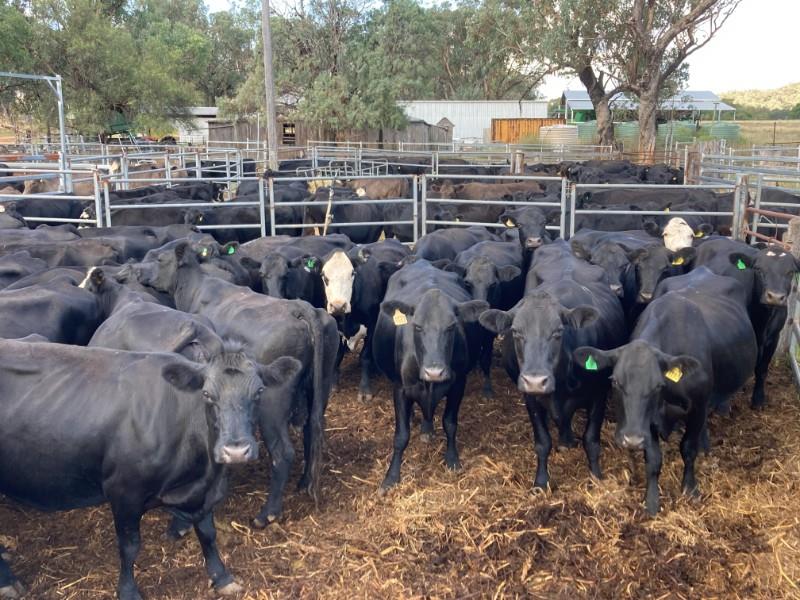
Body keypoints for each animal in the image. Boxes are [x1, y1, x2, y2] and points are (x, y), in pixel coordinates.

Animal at [0, 338, 295, 600]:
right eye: (207, 394)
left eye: (259, 392)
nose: (235, 450)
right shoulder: (124, 491)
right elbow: (130, 546)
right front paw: (128, 592)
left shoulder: (202, 491)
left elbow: (208, 533)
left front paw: (221, 577)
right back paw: (8, 581)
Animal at [372, 260, 488, 491]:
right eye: (417, 326)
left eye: (451, 326)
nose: (434, 372)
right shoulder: (400, 388)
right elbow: (401, 436)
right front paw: (391, 477)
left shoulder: (458, 384)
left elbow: (450, 423)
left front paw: (452, 459)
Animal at [574, 267, 757, 515]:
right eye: (615, 382)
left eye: (658, 385)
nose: (631, 440)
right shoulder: (648, 421)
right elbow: (653, 460)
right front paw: (652, 502)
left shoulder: (698, 406)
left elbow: (688, 448)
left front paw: (690, 489)